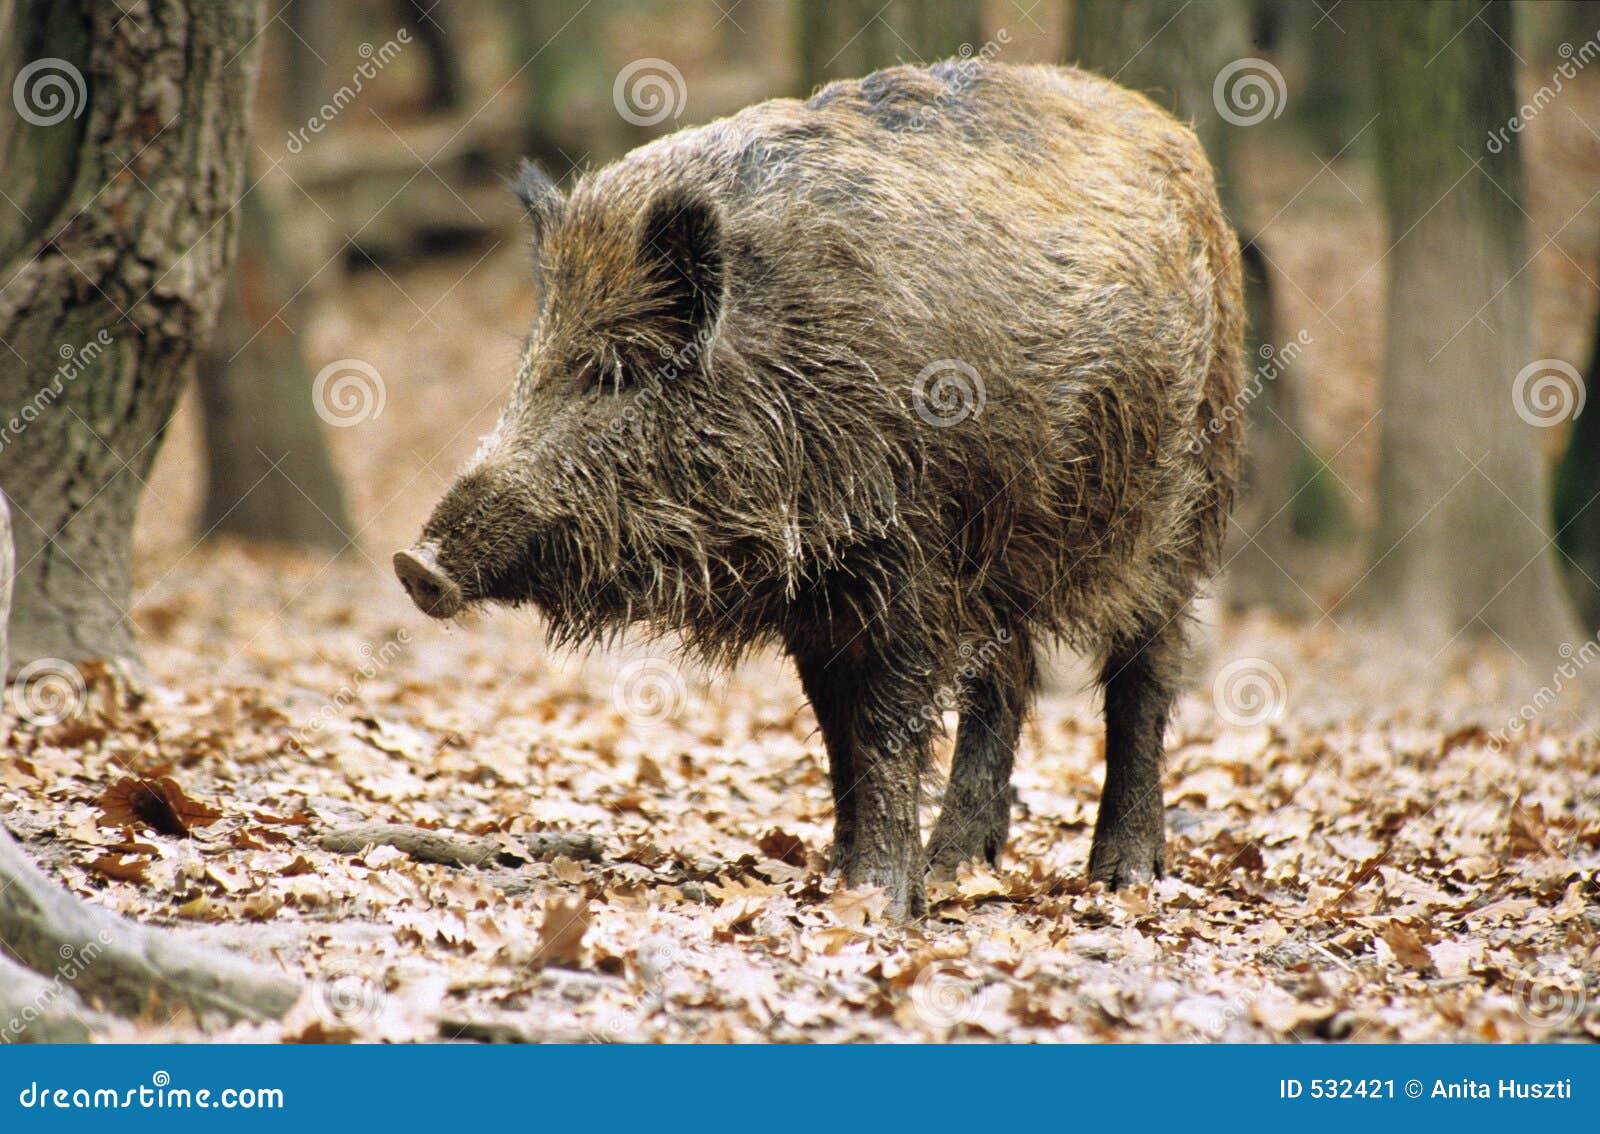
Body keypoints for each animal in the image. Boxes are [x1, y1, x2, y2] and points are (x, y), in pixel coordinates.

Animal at [395, 60, 1244, 917]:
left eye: (614, 370)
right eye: (530, 361)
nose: (416, 565)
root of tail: (1176, 137)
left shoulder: (910, 561)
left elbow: (887, 726)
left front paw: (879, 901)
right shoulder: (821, 596)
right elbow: (839, 732)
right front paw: (840, 883)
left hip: (1185, 499)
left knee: (1144, 674)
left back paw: (1123, 876)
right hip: (1009, 543)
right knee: (1006, 678)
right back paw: (956, 868)